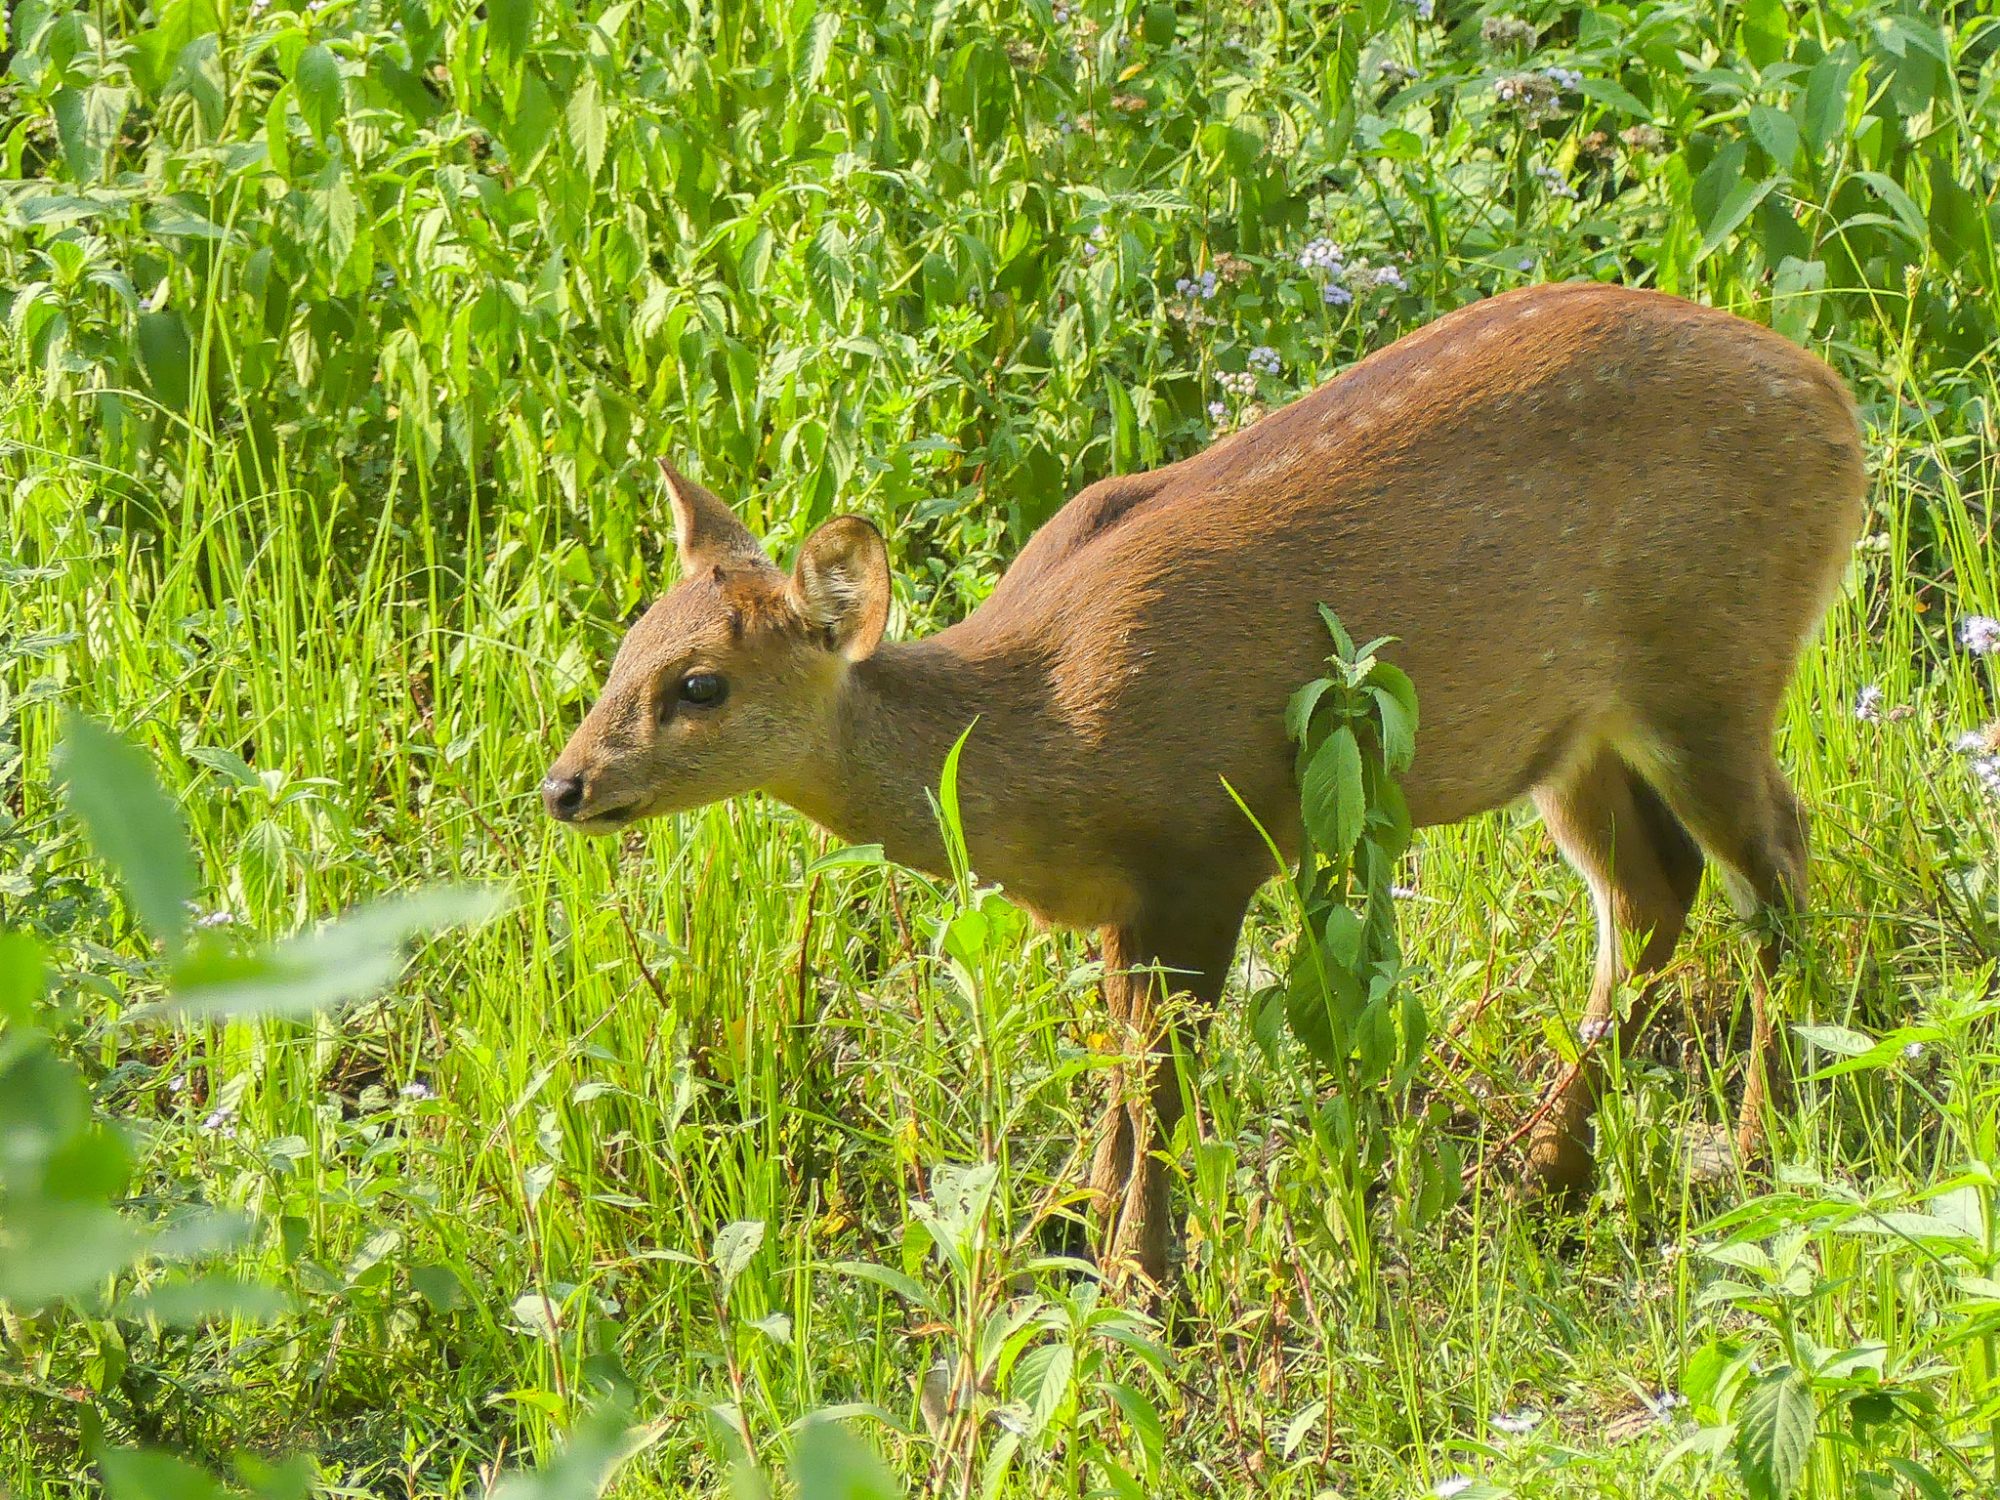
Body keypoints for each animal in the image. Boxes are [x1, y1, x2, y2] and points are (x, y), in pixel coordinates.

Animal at [542, 282, 1867, 1286]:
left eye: (700, 685)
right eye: (621, 649)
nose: (562, 786)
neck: (1038, 739)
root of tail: (1835, 405)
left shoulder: (1203, 852)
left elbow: (1161, 1088)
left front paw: (1141, 1282)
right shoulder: (1125, 901)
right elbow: (1124, 1084)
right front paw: (1065, 1230)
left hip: (1711, 662)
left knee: (1776, 865)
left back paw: (1754, 1150)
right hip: (1568, 733)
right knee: (1651, 893)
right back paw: (1538, 1176)